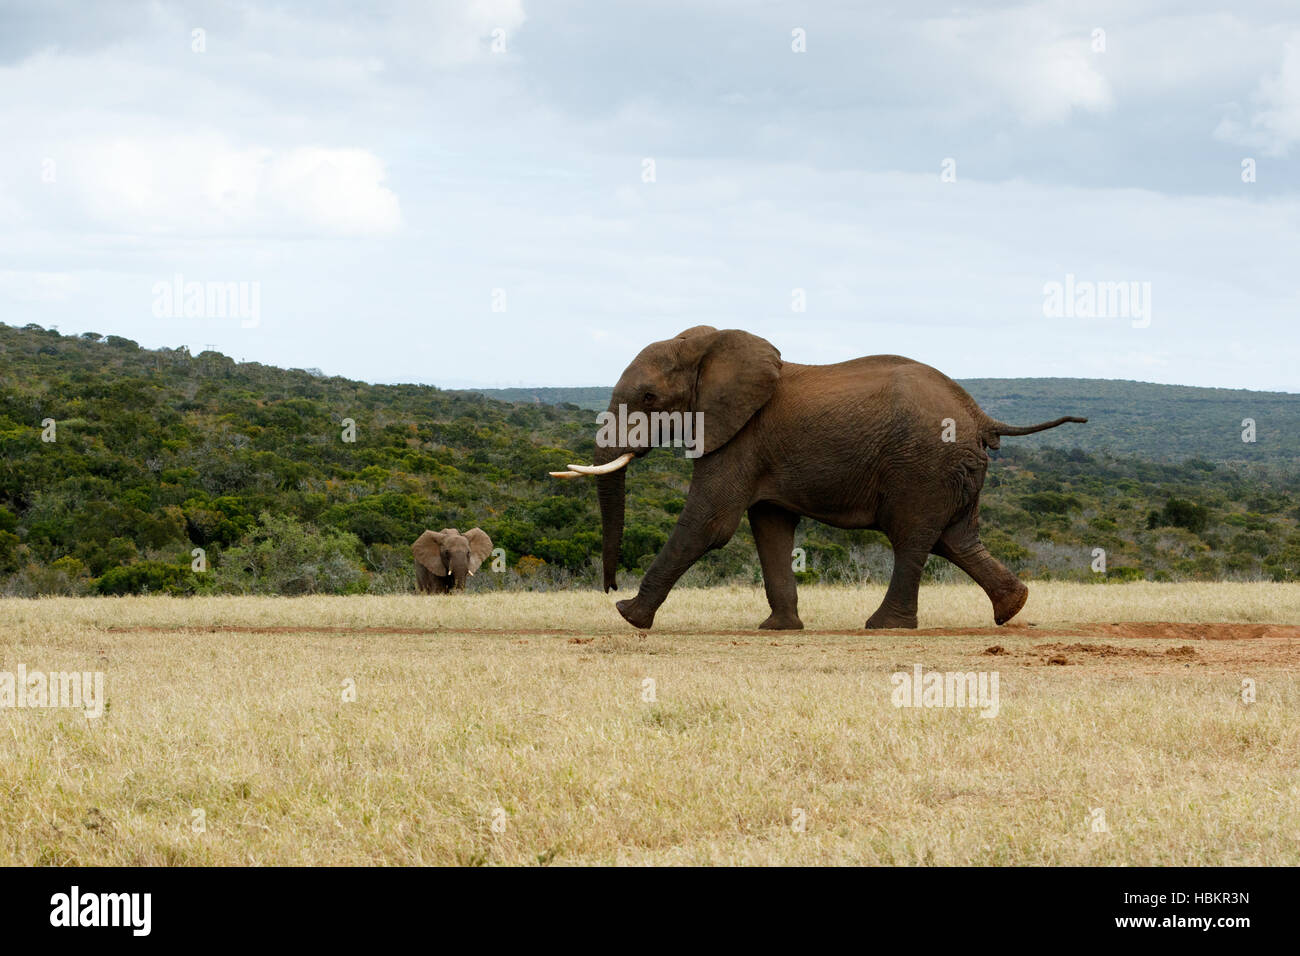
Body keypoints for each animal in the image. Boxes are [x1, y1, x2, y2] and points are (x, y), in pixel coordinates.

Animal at [551, 326, 1085, 630]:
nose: (609, 587)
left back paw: (885, 626)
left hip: (924, 467)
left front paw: (629, 616)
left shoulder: (739, 436)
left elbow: (709, 524)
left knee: (914, 538)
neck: (710, 346)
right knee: (955, 539)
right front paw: (779, 628)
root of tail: (980, 416)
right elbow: (770, 529)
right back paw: (1011, 609)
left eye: (648, 397)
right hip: (953, 470)